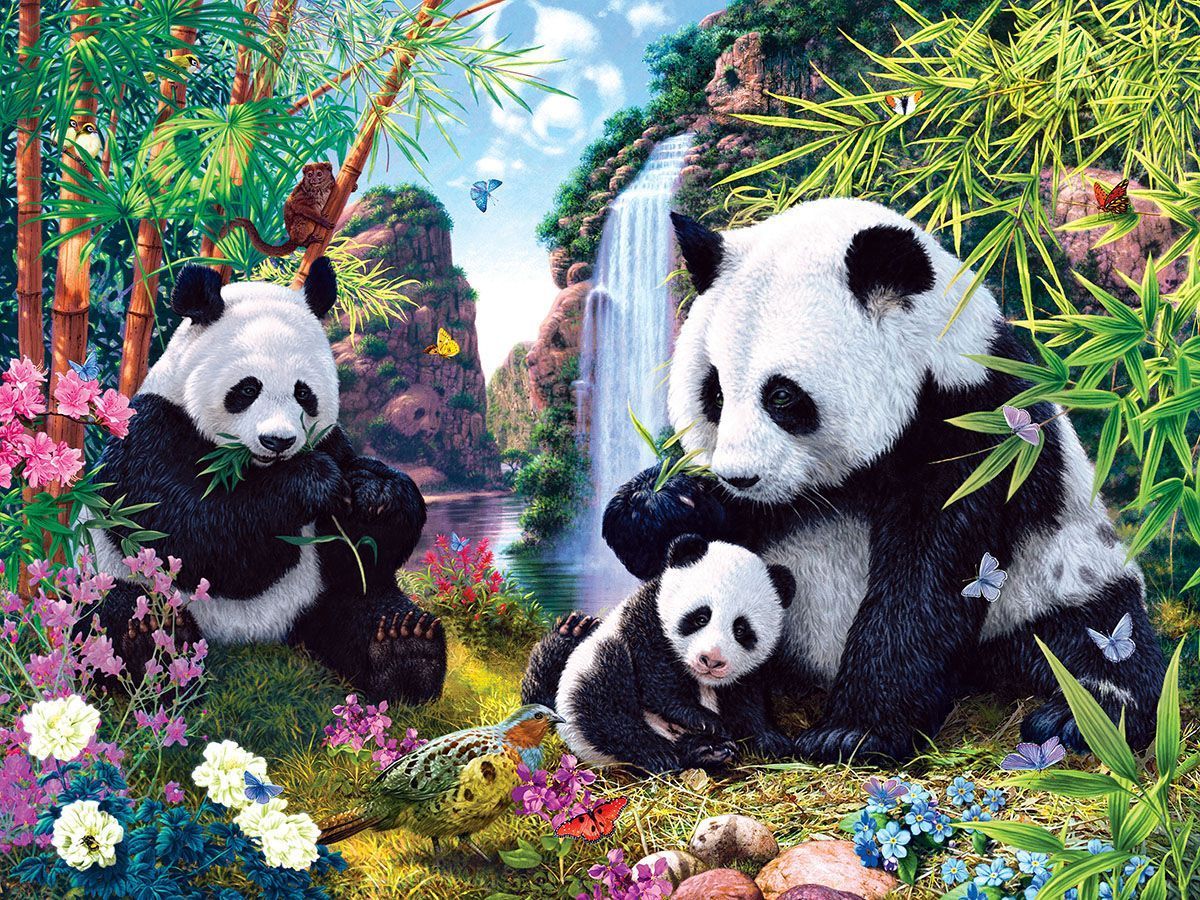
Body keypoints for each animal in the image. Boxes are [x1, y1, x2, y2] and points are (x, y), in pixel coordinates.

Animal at [87, 259, 446, 704]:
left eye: (303, 393)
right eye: (247, 388)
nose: (278, 441)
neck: (253, 468)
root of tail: (265, 637)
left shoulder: (330, 439)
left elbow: (366, 550)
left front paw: (374, 492)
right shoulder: (148, 434)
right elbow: (190, 534)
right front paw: (311, 482)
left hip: (315, 596)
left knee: (359, 603)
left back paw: (403, 651)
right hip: (107, 578)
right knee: (111, 612)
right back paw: (151, 646)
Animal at [522, 535, 796, 773]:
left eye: (740, 629)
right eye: (701, 617)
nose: (711, 660)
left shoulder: (748, 672)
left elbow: (748, 700)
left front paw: (771, 740)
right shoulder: (646, 619)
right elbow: (657, 681)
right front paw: (704, 719)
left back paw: (706, 750)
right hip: (590, 672)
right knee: (604, 702)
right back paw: (659, 753)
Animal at [602, 198, 1166, 763]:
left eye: (782, 396)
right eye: (714, 392)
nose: (739, 476)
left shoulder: (980, 427)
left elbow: (929, 570)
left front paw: (853, 733)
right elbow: (692, 549)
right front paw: (661, 502)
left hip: (1060, 573)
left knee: (1095, 639)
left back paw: (1080, 716)